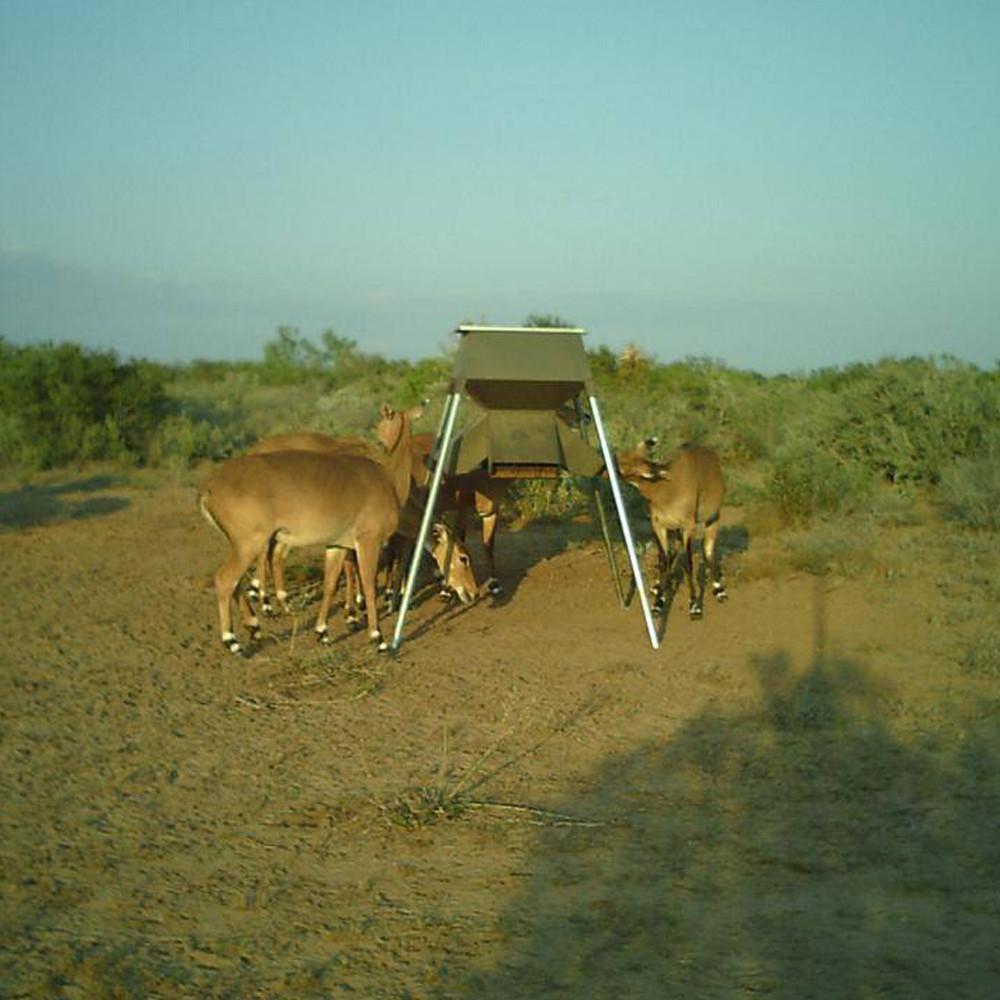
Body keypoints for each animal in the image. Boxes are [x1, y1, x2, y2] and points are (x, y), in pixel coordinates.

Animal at [198, 404, 420, 654]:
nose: (376, 437)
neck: (388, 479)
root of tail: (209, 487)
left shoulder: (337, 545)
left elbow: (330, 585)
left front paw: (322, 632)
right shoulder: (367, 542)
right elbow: (369, 585)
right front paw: (378, 637)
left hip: (242, 545)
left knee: (237, 582)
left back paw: (255, 628)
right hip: (250, 544)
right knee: (225, 579)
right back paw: (232, 639)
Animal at [616, 437, 727, 620]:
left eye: (624, 462)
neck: (665, 488)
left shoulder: (688, 526)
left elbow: (688, 563)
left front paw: (694, 607)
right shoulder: (658, 526)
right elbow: (663, 560)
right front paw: (658, 604)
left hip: (712, 518)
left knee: (708, 550)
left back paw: (719, 590)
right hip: (675, 529)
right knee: (672, 553)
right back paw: (657, 587)